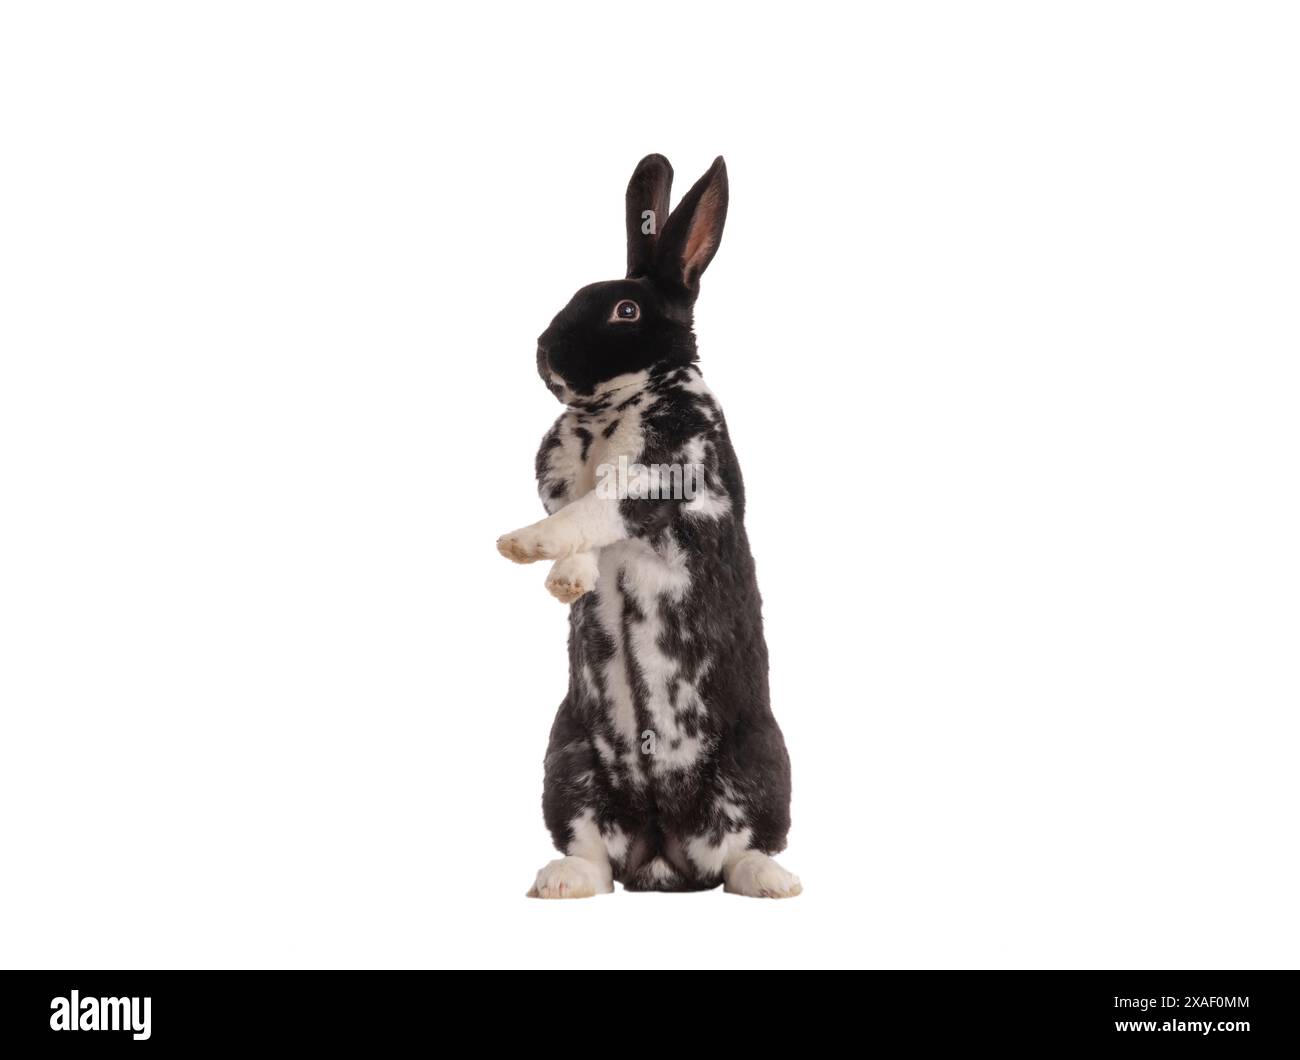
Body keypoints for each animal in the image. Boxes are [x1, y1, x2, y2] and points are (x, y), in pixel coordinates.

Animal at [496, 155, 799, 899]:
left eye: (625, 310)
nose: (544, 353)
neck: (614, 407)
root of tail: (664, 852)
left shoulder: (668, 468)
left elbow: (595, 511)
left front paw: (526, 547)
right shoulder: (557, 470)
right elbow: (572, 511)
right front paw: (566, 581)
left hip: (760, 766)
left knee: (744, 852)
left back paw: (775, 882)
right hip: (568, 765)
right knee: (594, 858)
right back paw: (558, 882)